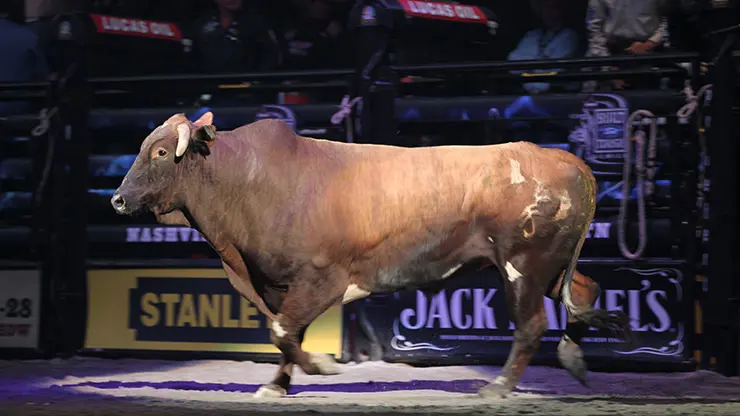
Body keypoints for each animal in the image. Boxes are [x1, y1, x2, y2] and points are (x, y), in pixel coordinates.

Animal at [111, 111, 633, 399]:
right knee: (586, 290)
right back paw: (575, 361)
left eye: (160, 153)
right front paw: (277, 384)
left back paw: (499, 387)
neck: (251, 181)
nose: (117, 199)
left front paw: (321, 366)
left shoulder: (323, 276)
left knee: (531, 326)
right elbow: (283, 331)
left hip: (522, 266)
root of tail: (564, 158)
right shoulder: (277, 284)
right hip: (549, 267)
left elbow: (283, 330)